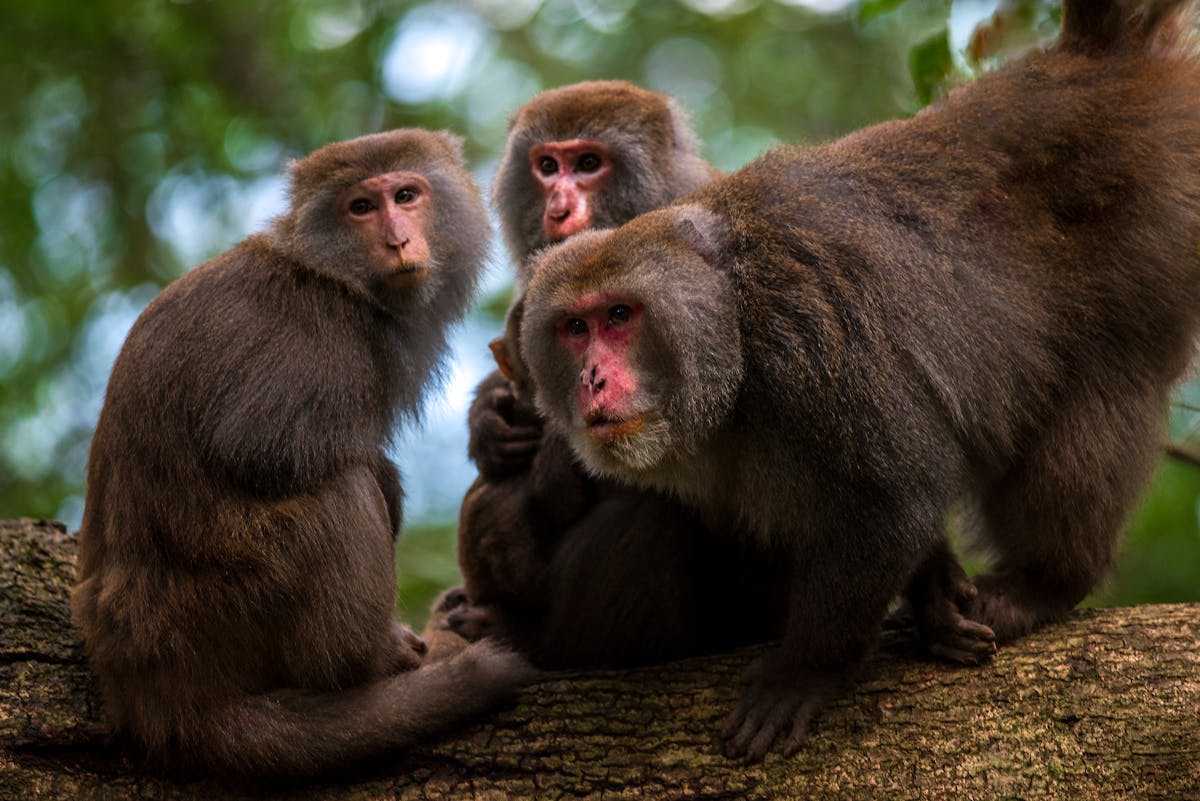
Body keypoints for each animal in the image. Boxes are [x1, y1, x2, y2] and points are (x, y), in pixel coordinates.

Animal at [71, 129, 538, 779]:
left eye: (406, 195)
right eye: (361, 208)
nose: (397, 240)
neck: (337, 278)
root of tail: (156, 685)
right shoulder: (323, 343)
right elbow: (259, 448)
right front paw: (385, 479)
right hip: (233, 603)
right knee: (341, 490)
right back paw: (363, 663)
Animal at [520, 1, 1200, 760]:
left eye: (619, 315)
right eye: (574, 328)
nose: (591, 379)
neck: (731, 325)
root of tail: (1091, 67)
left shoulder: (806, 347)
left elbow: (889, 502)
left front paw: (803, 670)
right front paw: (932, 585)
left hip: (1151, 234)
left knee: (1102, 392)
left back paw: (1046, 581)